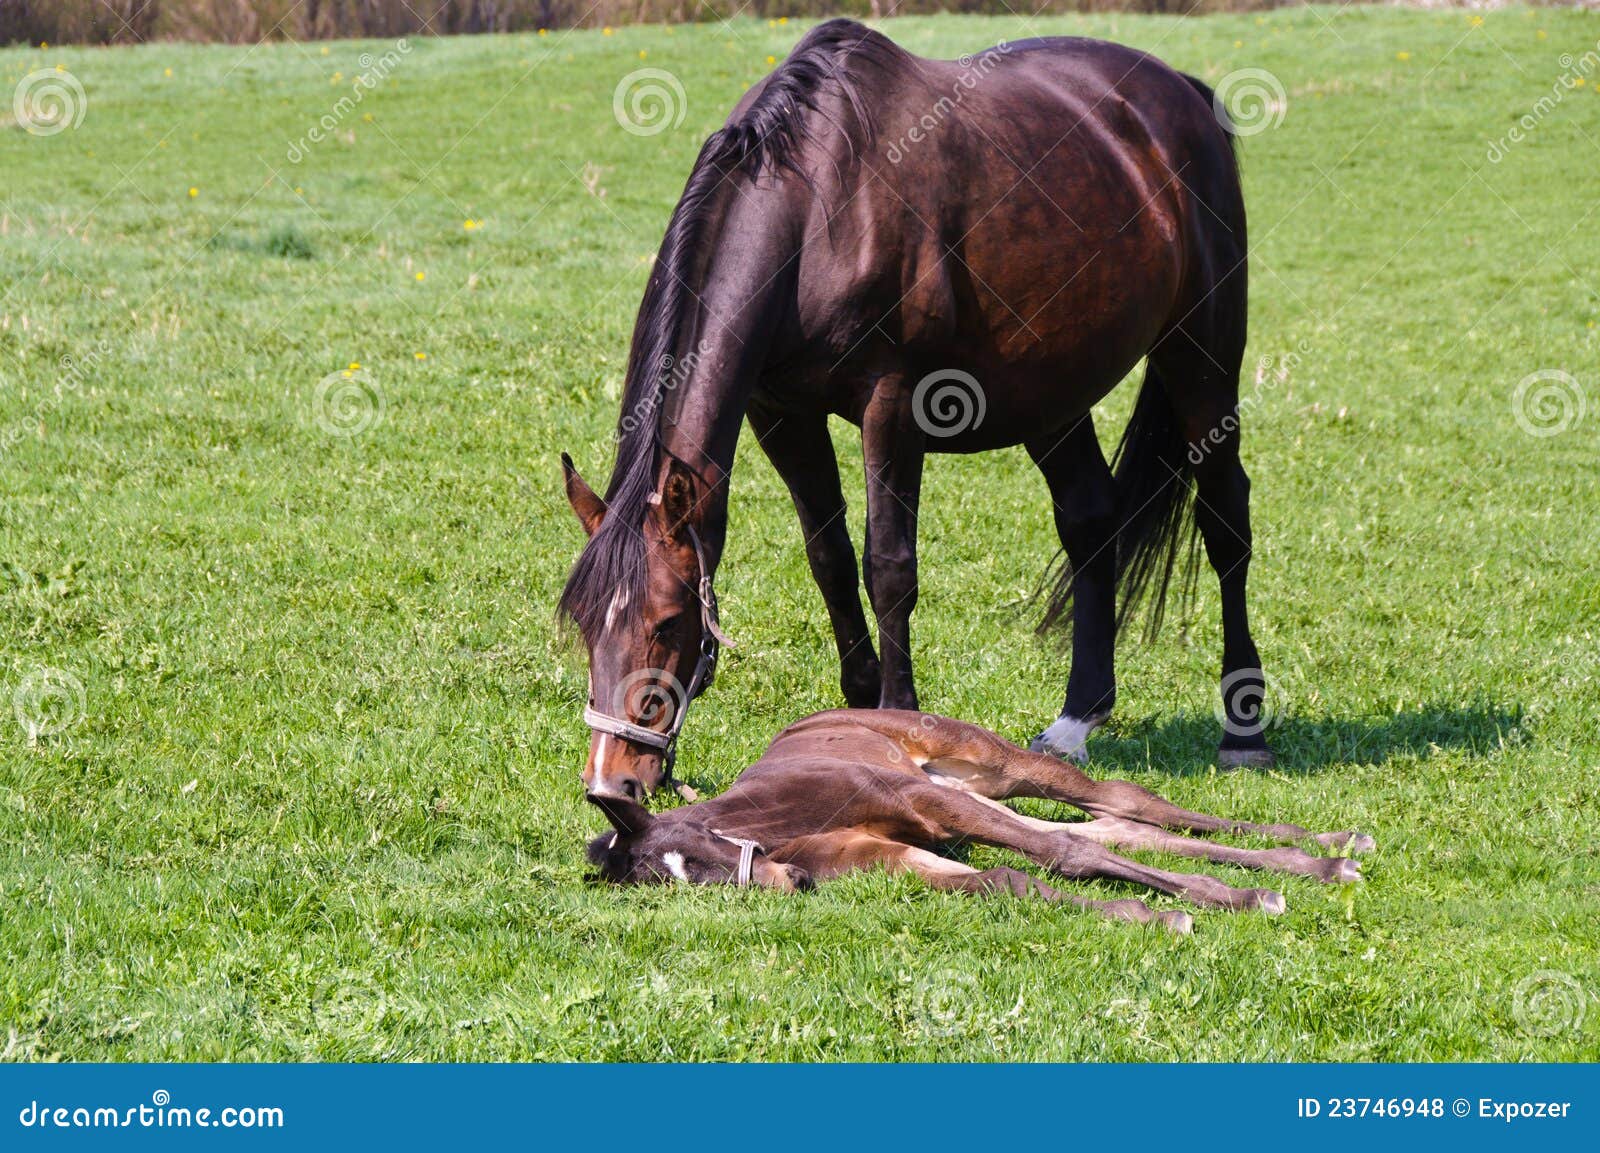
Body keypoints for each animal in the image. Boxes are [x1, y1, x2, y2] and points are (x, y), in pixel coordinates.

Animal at [562, 19, 1268, 803]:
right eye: (586, 625)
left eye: (666, 622)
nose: (610, 781)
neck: (816, 210)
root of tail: (1183, 96)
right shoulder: (781, 414)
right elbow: (831, 561)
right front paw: (856, 703)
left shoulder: (892, 405)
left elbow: (888, 567)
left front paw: (896, 714)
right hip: (1053, 396)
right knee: (1090, 521)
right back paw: (1076, 718)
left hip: (1201, 358)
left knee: (1225, 519)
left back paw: (1244, 729)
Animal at [586, 709, 1372, 931]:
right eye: (674, 883)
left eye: (699, 848)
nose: (789, 883)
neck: (778, 824)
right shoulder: (891, 852)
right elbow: (1006, 879)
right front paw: (1143, 914)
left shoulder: (929, 806)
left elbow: (1061, 854)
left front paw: (1221, 902)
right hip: (980, 797)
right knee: (1117, 827)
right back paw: (1310, 861)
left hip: (984, 768)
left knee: (1119, 801)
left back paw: (1329, 849)